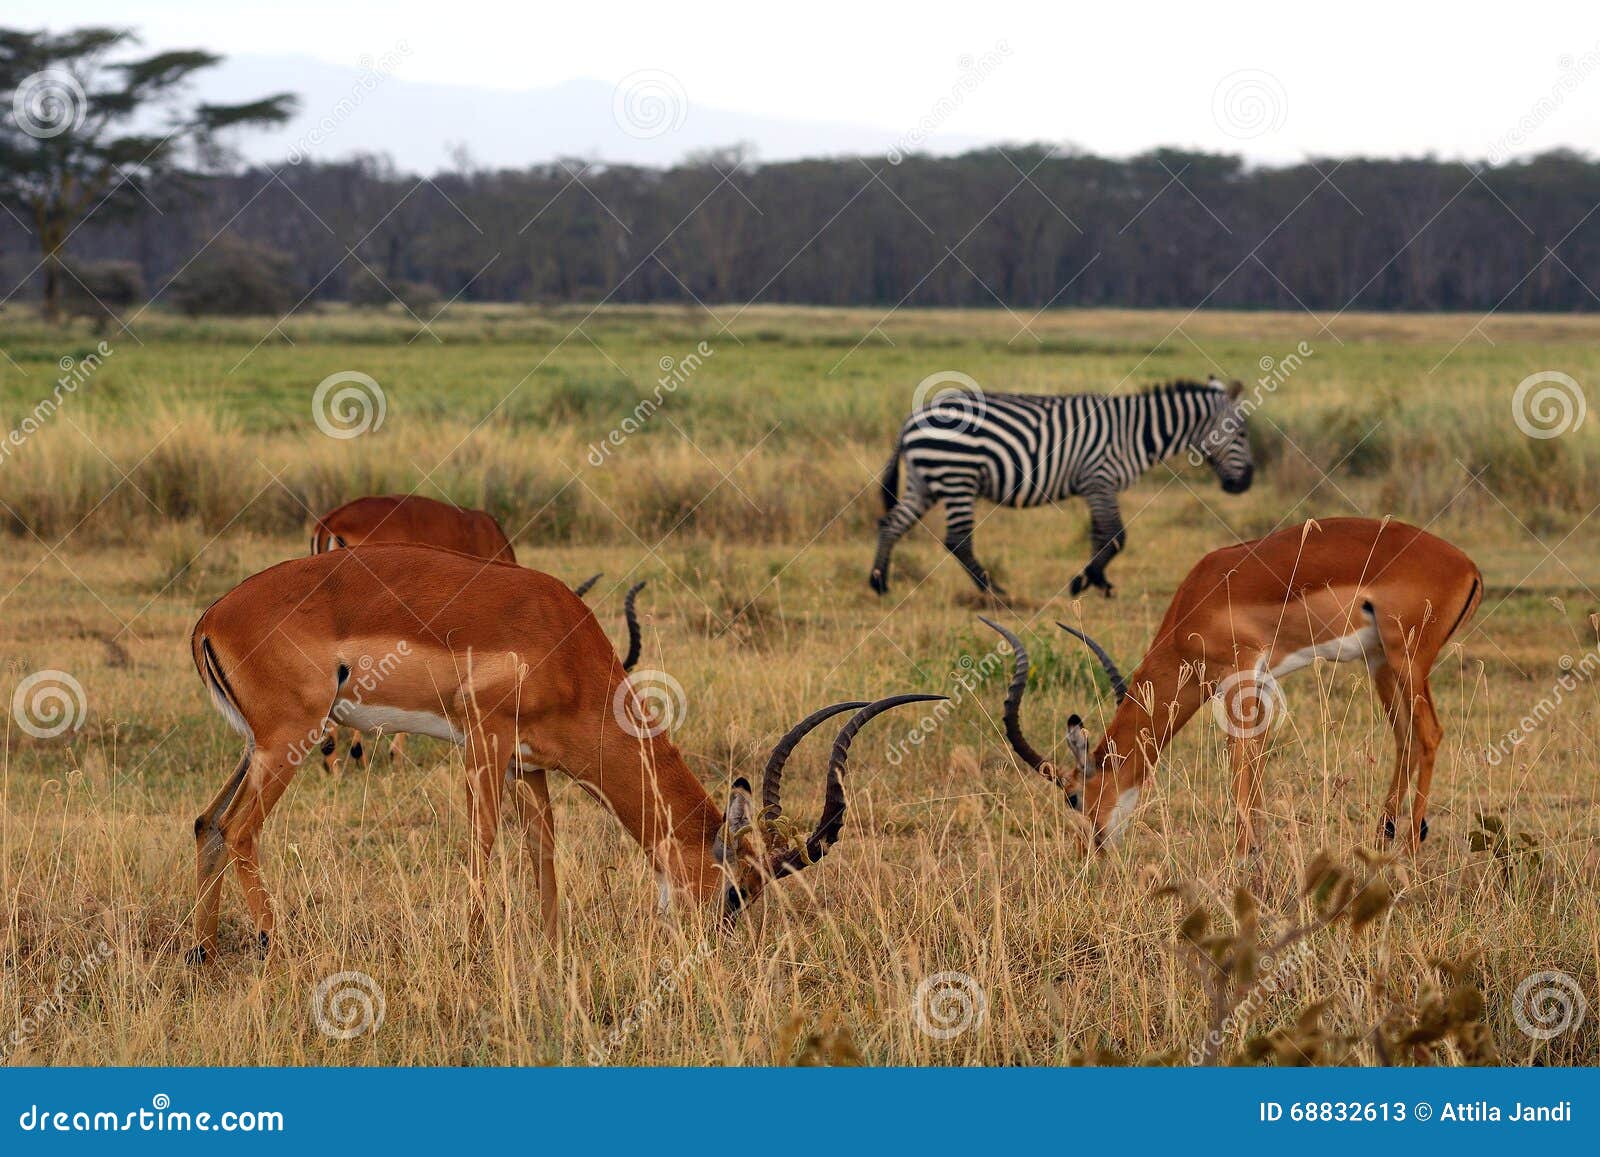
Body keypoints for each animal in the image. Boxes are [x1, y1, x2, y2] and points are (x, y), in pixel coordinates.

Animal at [869, 377, 1255, 598]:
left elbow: (1100, 537)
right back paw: (994, 592)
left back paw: (879, 583)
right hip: (957, 476)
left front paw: (1095, 581)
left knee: (891, 524)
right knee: (958, 540)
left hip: (924, 482)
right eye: (1241, 433)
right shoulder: (1100, 479)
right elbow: (1116, 537)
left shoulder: (1097, 487)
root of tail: (912, 419)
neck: (1137, 432)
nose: (1246, 482)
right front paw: (1085, 581)